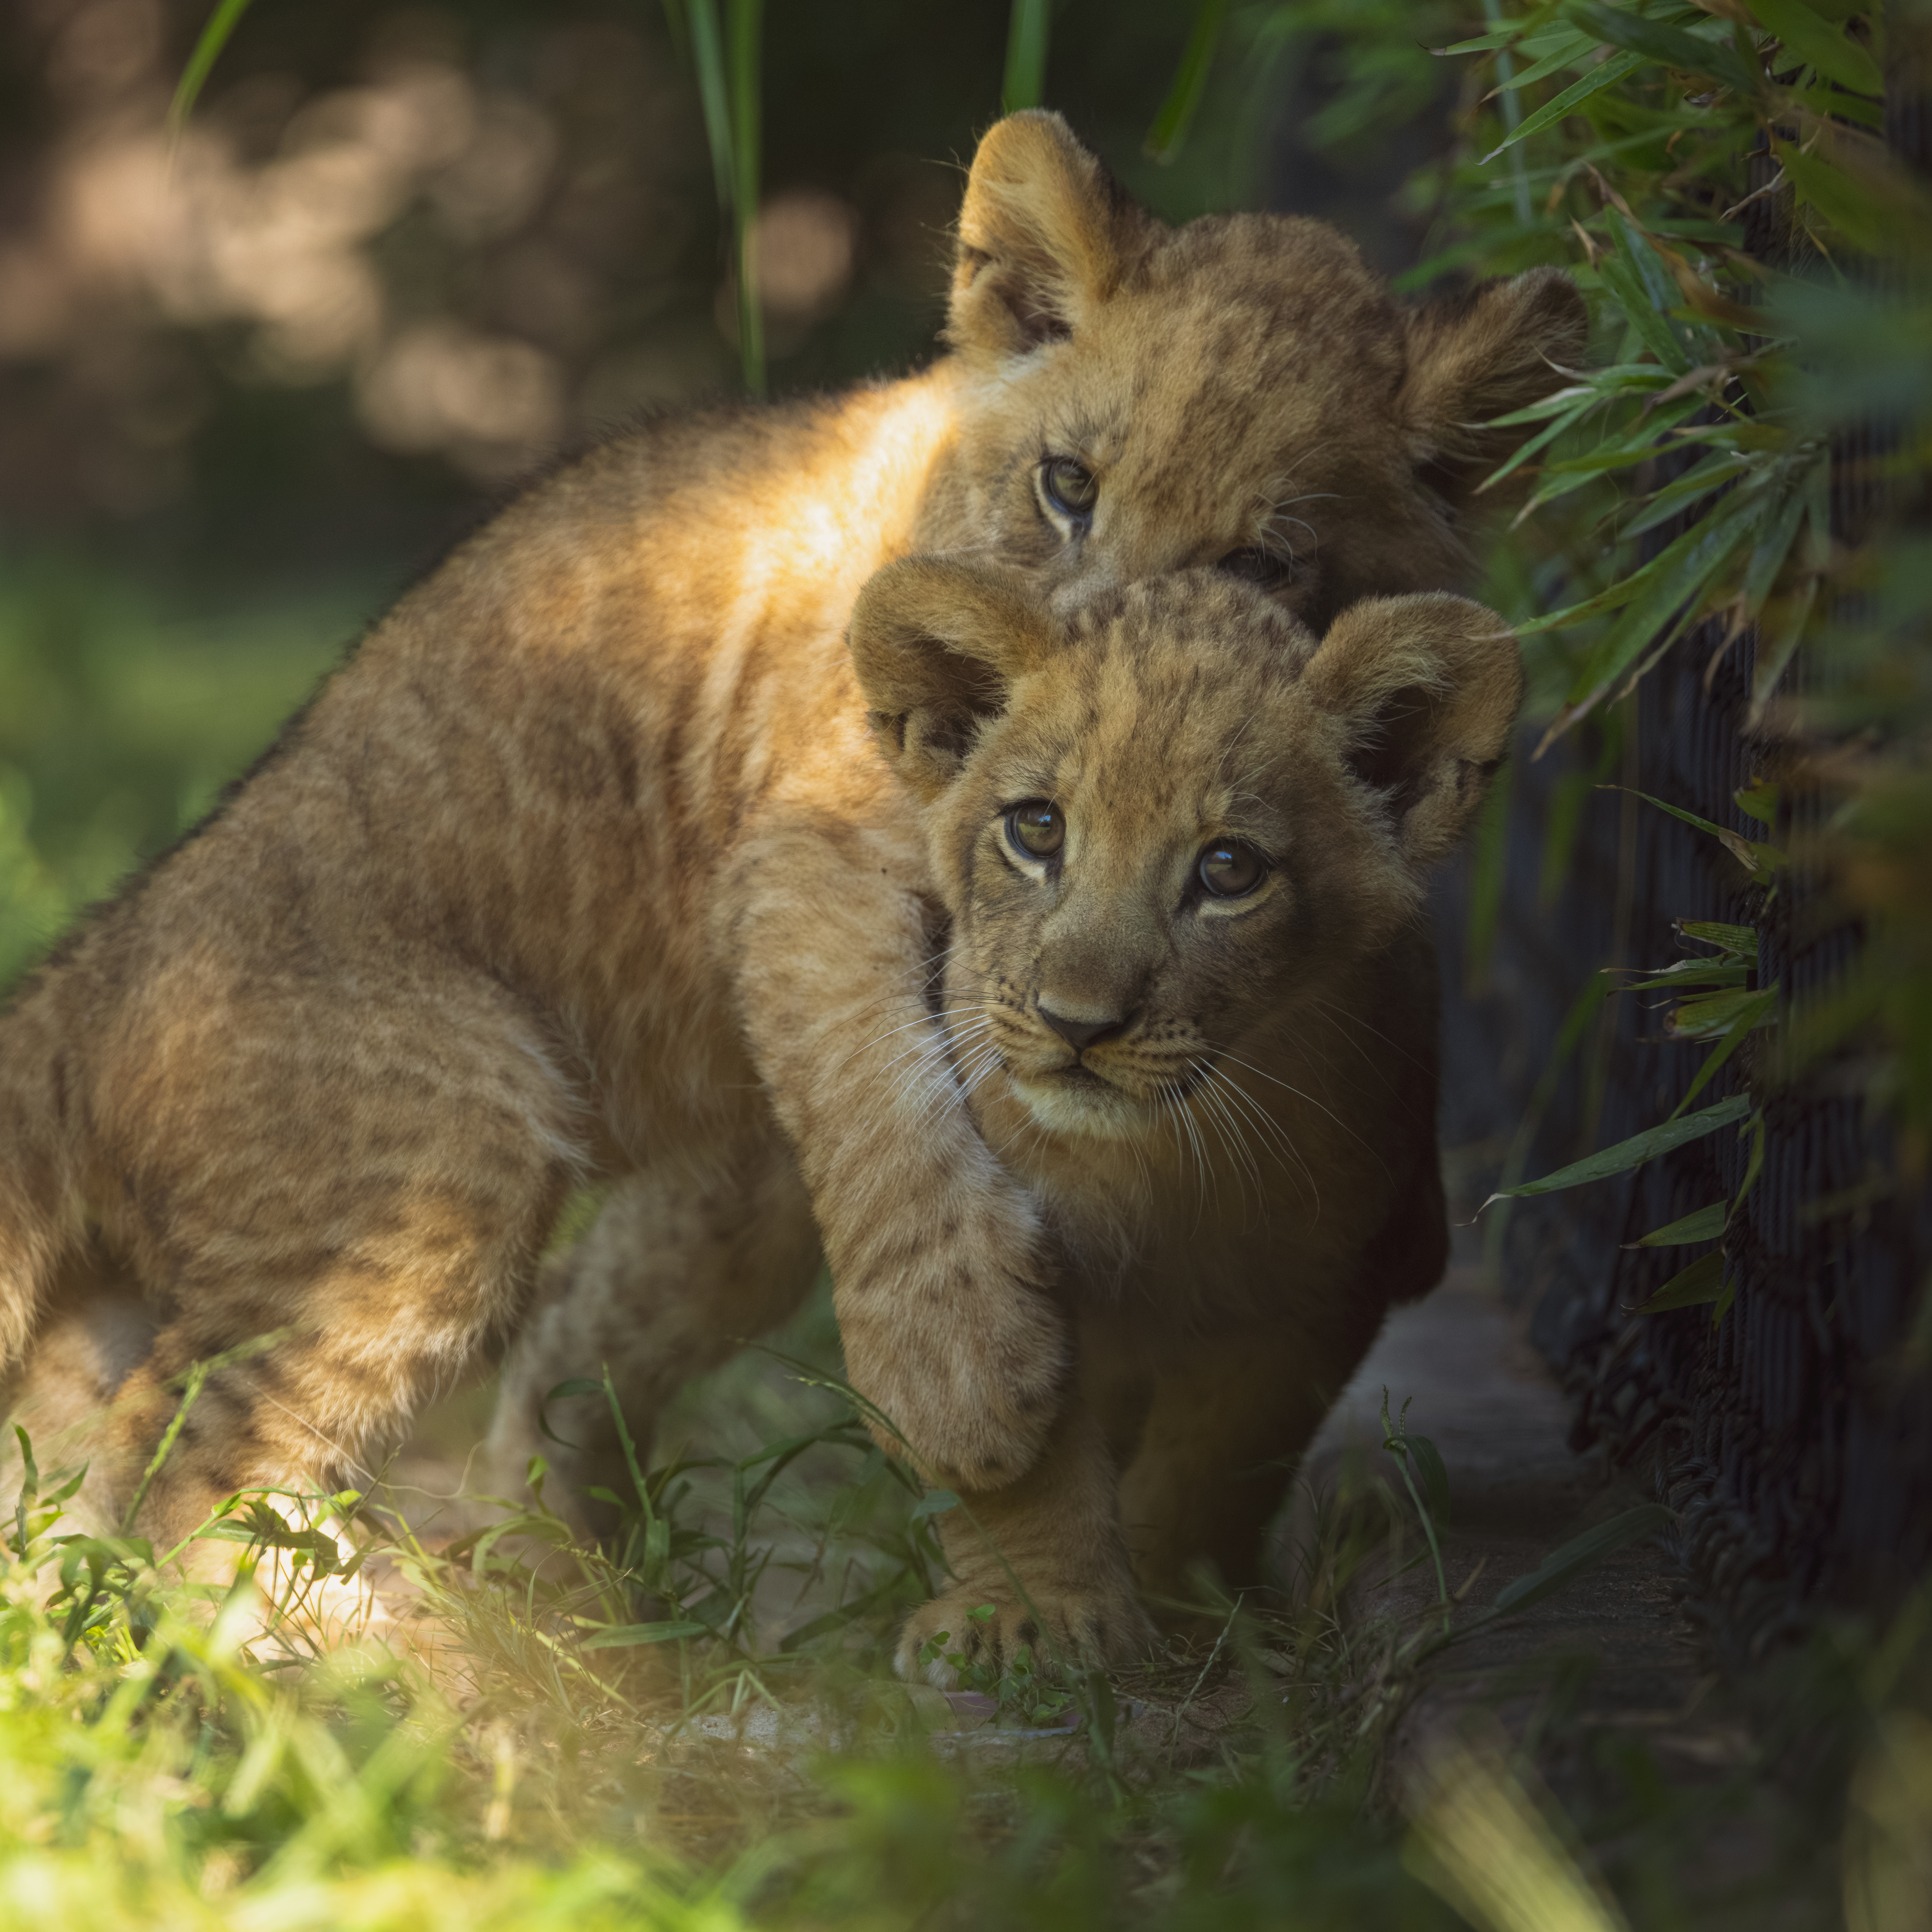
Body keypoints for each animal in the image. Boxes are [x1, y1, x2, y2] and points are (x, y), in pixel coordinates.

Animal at [0, 108, 1571, 1554]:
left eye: (1262, 560)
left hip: (650, 1196)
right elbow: (877, 1087)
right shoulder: (811, 853)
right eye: (1069, 485)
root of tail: (101, 960)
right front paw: (957, 1378)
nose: (1078, 677)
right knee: (180, 1457)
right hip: (445, 1141)